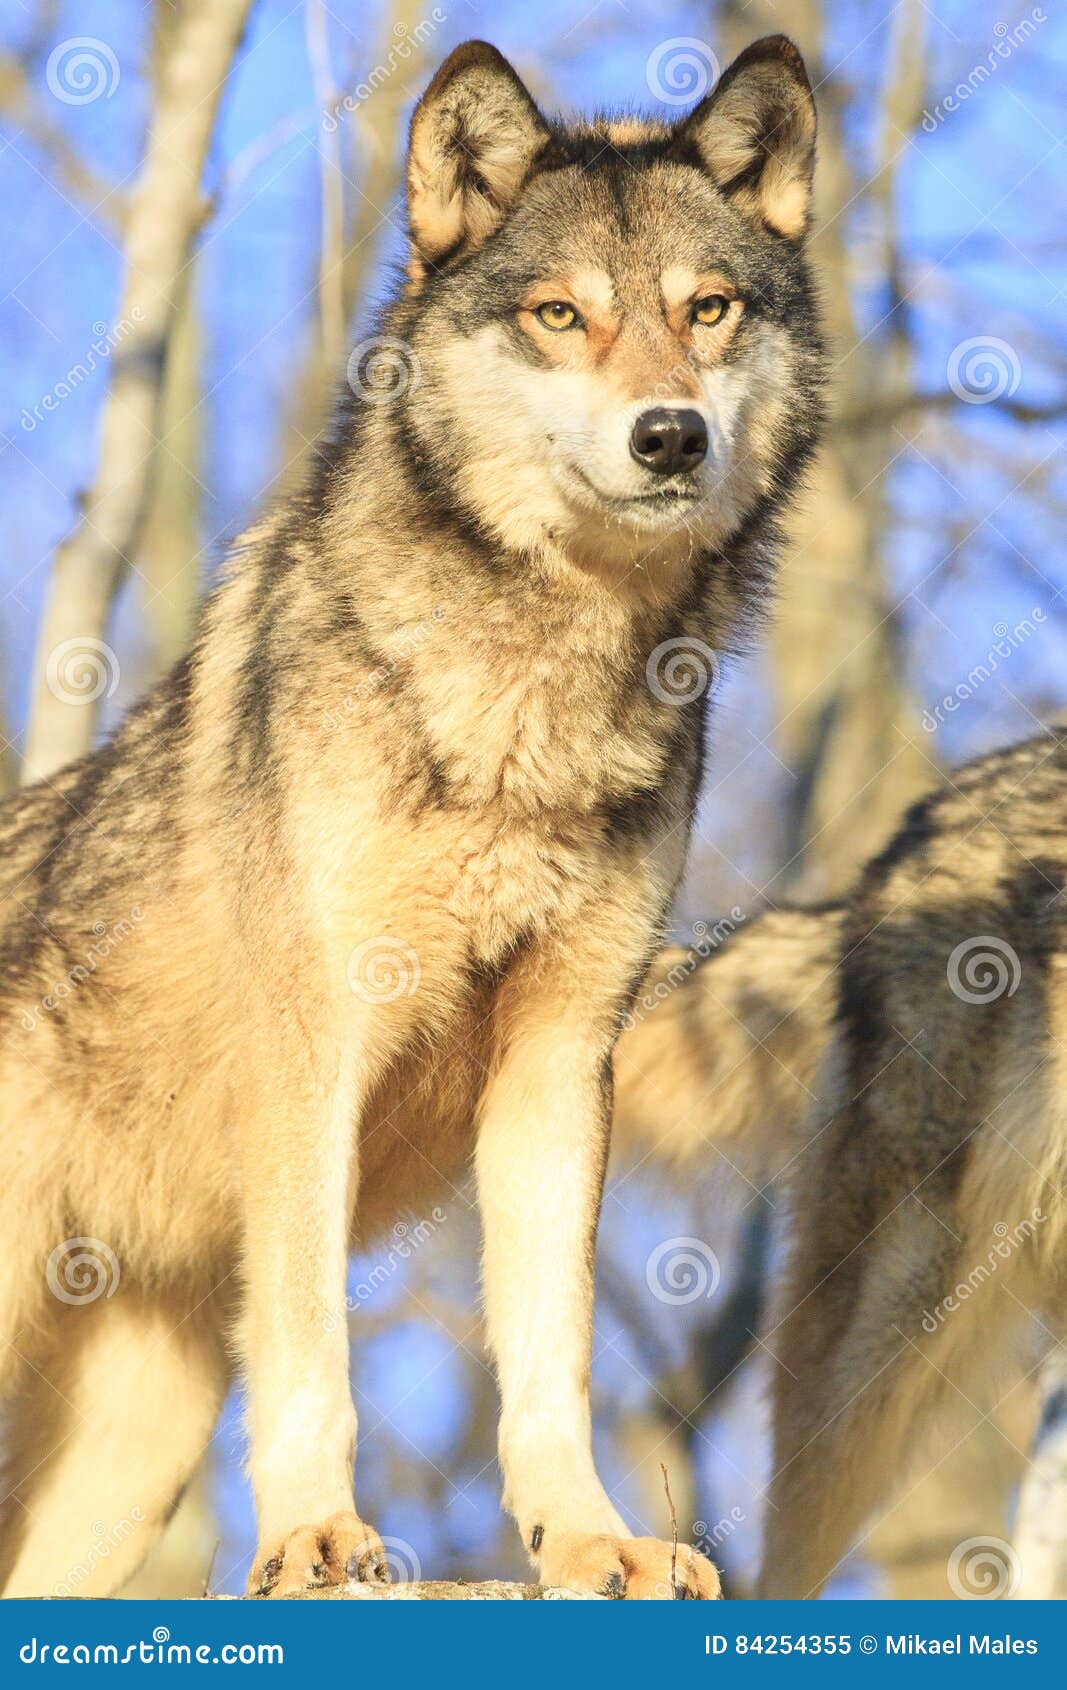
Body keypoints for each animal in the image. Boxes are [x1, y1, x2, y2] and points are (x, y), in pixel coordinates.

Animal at [0, 38, 823, 1597]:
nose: (668, 433)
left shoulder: (562, 1058)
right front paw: (316, 1533)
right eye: (561, 314)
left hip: (126, 1460)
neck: (528, 701)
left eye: (707, 309)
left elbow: (550, 1356)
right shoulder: (316, 1044)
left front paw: (590, 1539)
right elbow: (313, 1338)